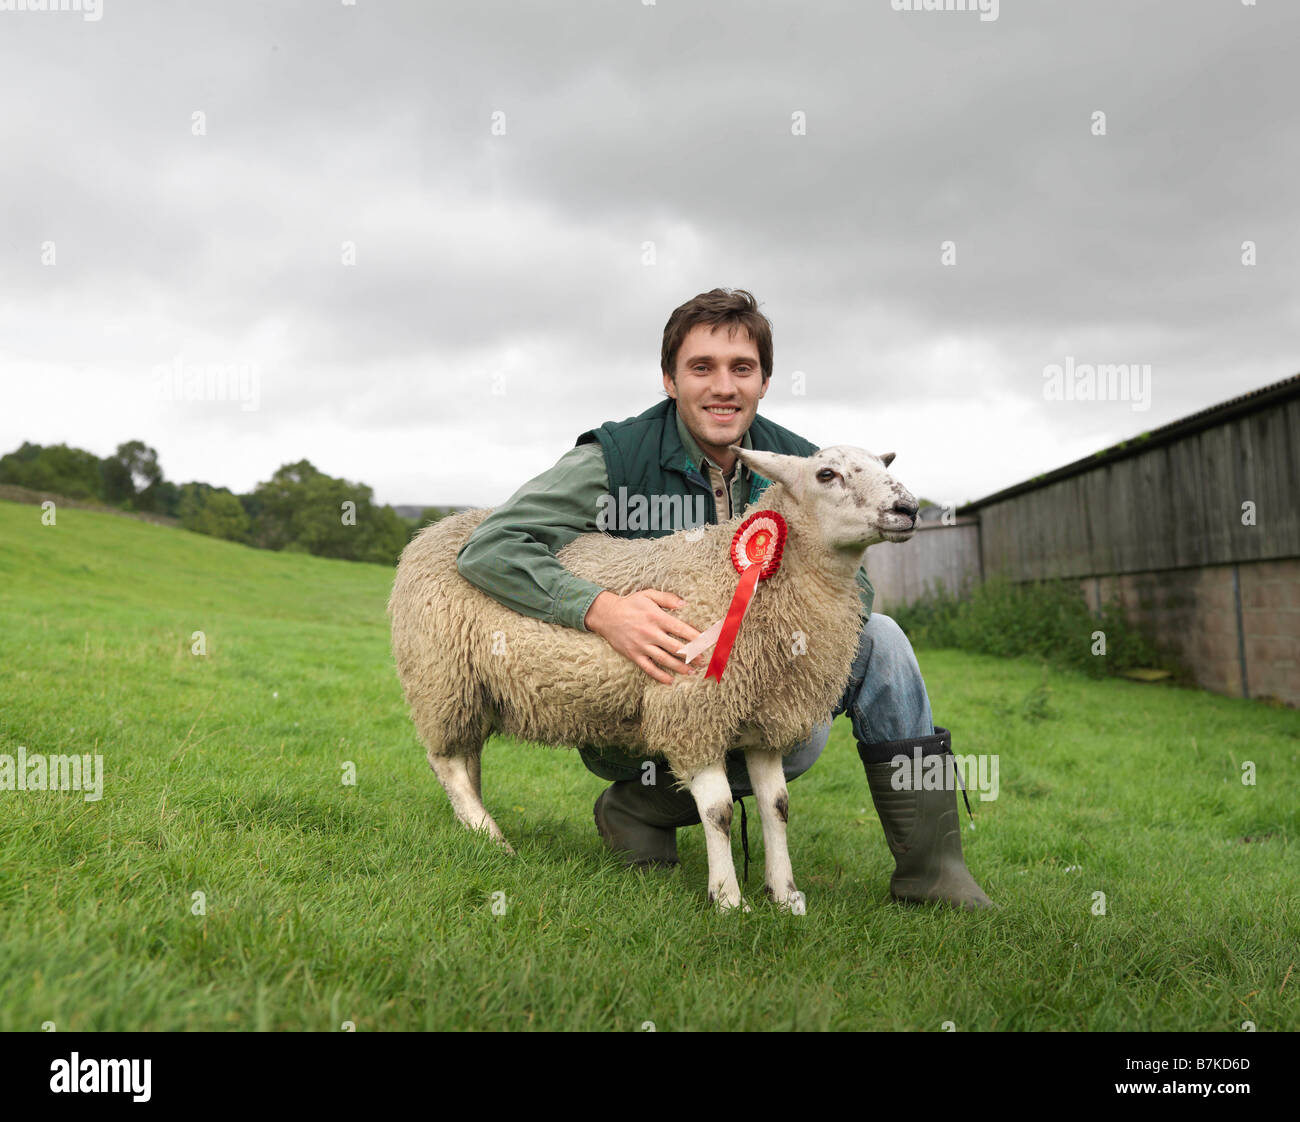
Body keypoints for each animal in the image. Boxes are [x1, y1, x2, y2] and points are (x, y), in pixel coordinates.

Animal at [388, 444, 919, 911]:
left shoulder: (766, 718)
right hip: (440, 674)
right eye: (827, 474)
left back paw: (476, 829)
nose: (909, 508)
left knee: (467, 757)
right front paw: (729, 899)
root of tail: (431, 531)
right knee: (447, 762)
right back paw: (493, 839)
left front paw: (785, 895)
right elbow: (719, 810)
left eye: (882, 467)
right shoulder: (693, 710)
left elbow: (777, 806)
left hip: (473, 689)